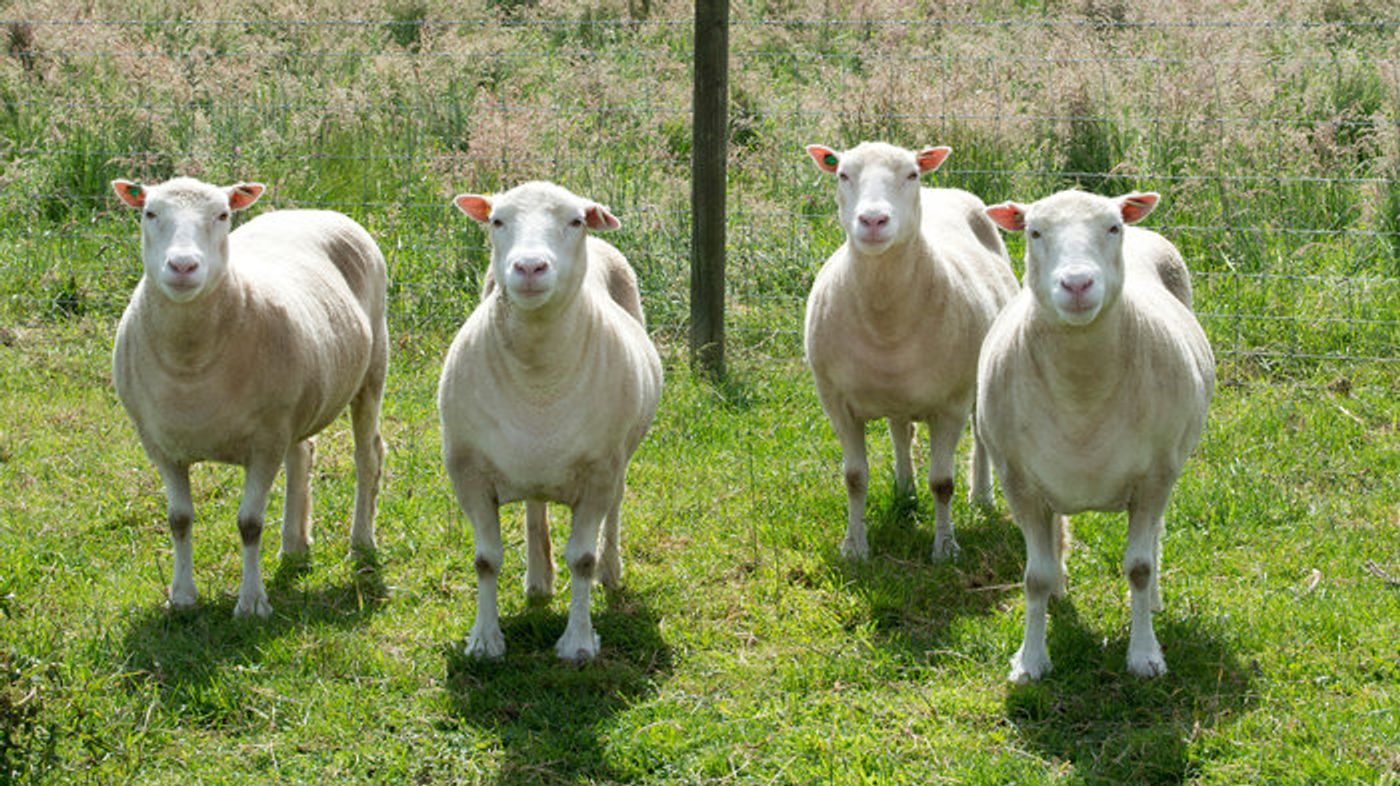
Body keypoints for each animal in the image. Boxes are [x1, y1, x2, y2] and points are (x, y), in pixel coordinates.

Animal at [109, 174, 389, 616]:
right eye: (150, 213)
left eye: (222, 215)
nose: (183, 266)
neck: (190, 363)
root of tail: (313, 210)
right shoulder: (159, 445)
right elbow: (179, 519)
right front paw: (182, 596)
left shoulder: (264, 442)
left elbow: (249, 524)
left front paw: (253, 603)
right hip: (297, 401)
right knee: (302, 455)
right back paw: (293, 545)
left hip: (372, 368)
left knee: (368, 456)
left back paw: (361, 543)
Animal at [436, 179, 660, 661]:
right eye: (497, 220)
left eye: (575, 221)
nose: (530, 266)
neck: (537, 372)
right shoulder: (467, 470)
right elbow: (485, 560)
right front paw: (484, 640)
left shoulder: (600, 471)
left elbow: (582, 559)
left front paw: (578, 642)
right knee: (535, 506)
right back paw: (538, 580)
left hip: (621, 457)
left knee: (615, 510)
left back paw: (611, 571)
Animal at [806, 139, 1024, 557]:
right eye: (842, 174)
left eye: (911, 174)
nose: (873, 221)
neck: (884, 319)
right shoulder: (835, 401)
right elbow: (854, 477)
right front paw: (855, 547)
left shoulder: (951, 404)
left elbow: (942, 483)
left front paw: (946, 548)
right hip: (896, 393)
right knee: (899, 431)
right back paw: (904, 491)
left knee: (980, 437)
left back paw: (982, 497)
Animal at [974, 190, 1215, 680]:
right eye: (1034, 232)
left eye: (1111, 228)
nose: (1078, 284)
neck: (1082, 392)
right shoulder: (1018, 483)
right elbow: (1034, 577)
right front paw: (1030, 660)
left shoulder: (1154, 477)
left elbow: (1139, 567)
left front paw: (1145, 655)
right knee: (1053, 541)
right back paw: (1058, 589)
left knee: (1155, 538)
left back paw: (1154, 602)